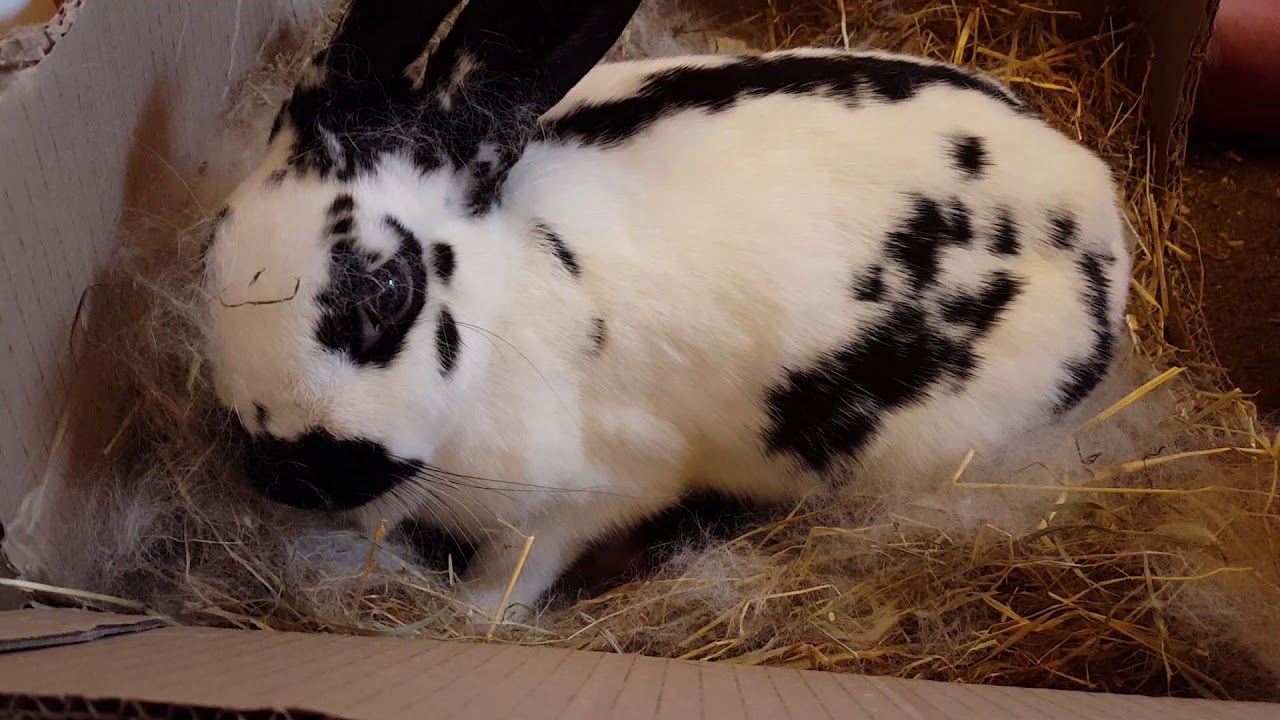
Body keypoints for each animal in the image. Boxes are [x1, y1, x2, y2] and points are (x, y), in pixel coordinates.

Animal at [200, 0, 1132, 621]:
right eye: (215, 237)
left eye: (388, 291)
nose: (283, 477)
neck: (510, 302)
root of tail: (1105, 219)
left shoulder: (591, 493)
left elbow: (515, 569)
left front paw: (473, 617)